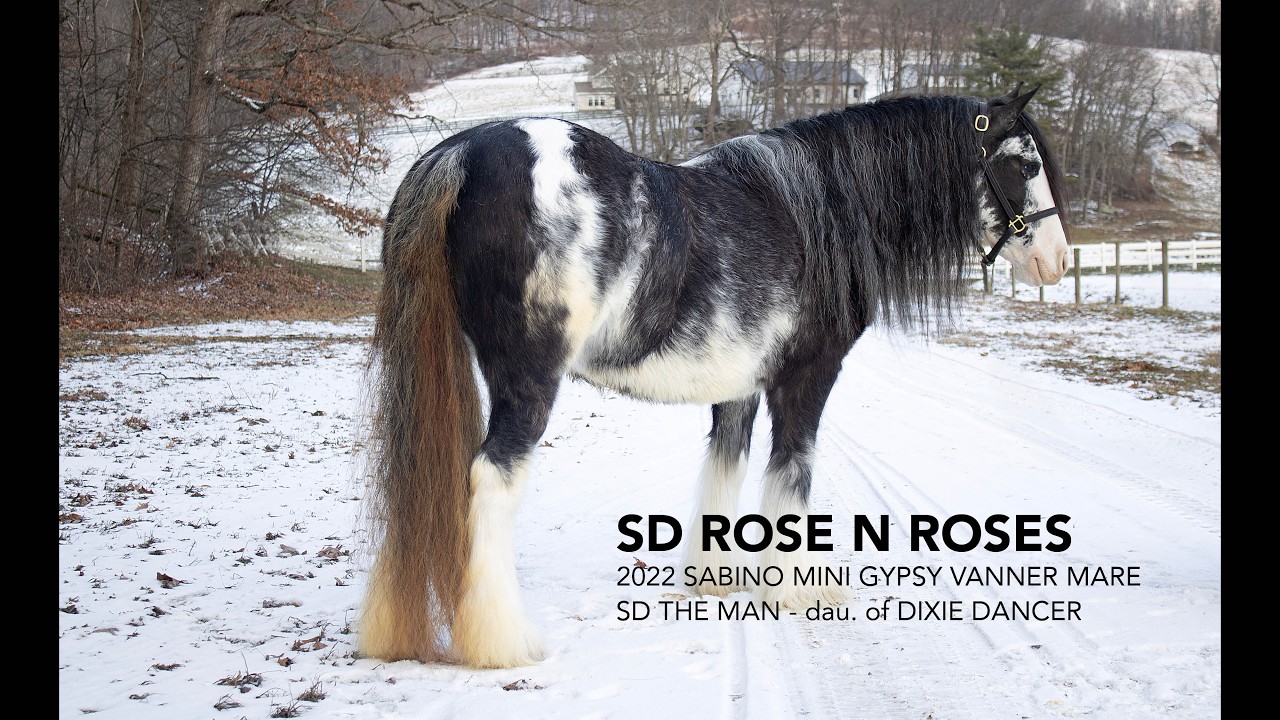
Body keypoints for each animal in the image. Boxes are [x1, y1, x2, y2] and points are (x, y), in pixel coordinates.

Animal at [358, 85, 1070, 669]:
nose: (1057, 260)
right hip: (528, 380)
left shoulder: (739, 389)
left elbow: (726, 467)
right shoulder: (806, 379)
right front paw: (797, 590)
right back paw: (503, 643)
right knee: (492, 480)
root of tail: (465, 151)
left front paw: (715, 577)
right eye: (1023, 164)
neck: (823, 206)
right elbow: (793, 471)